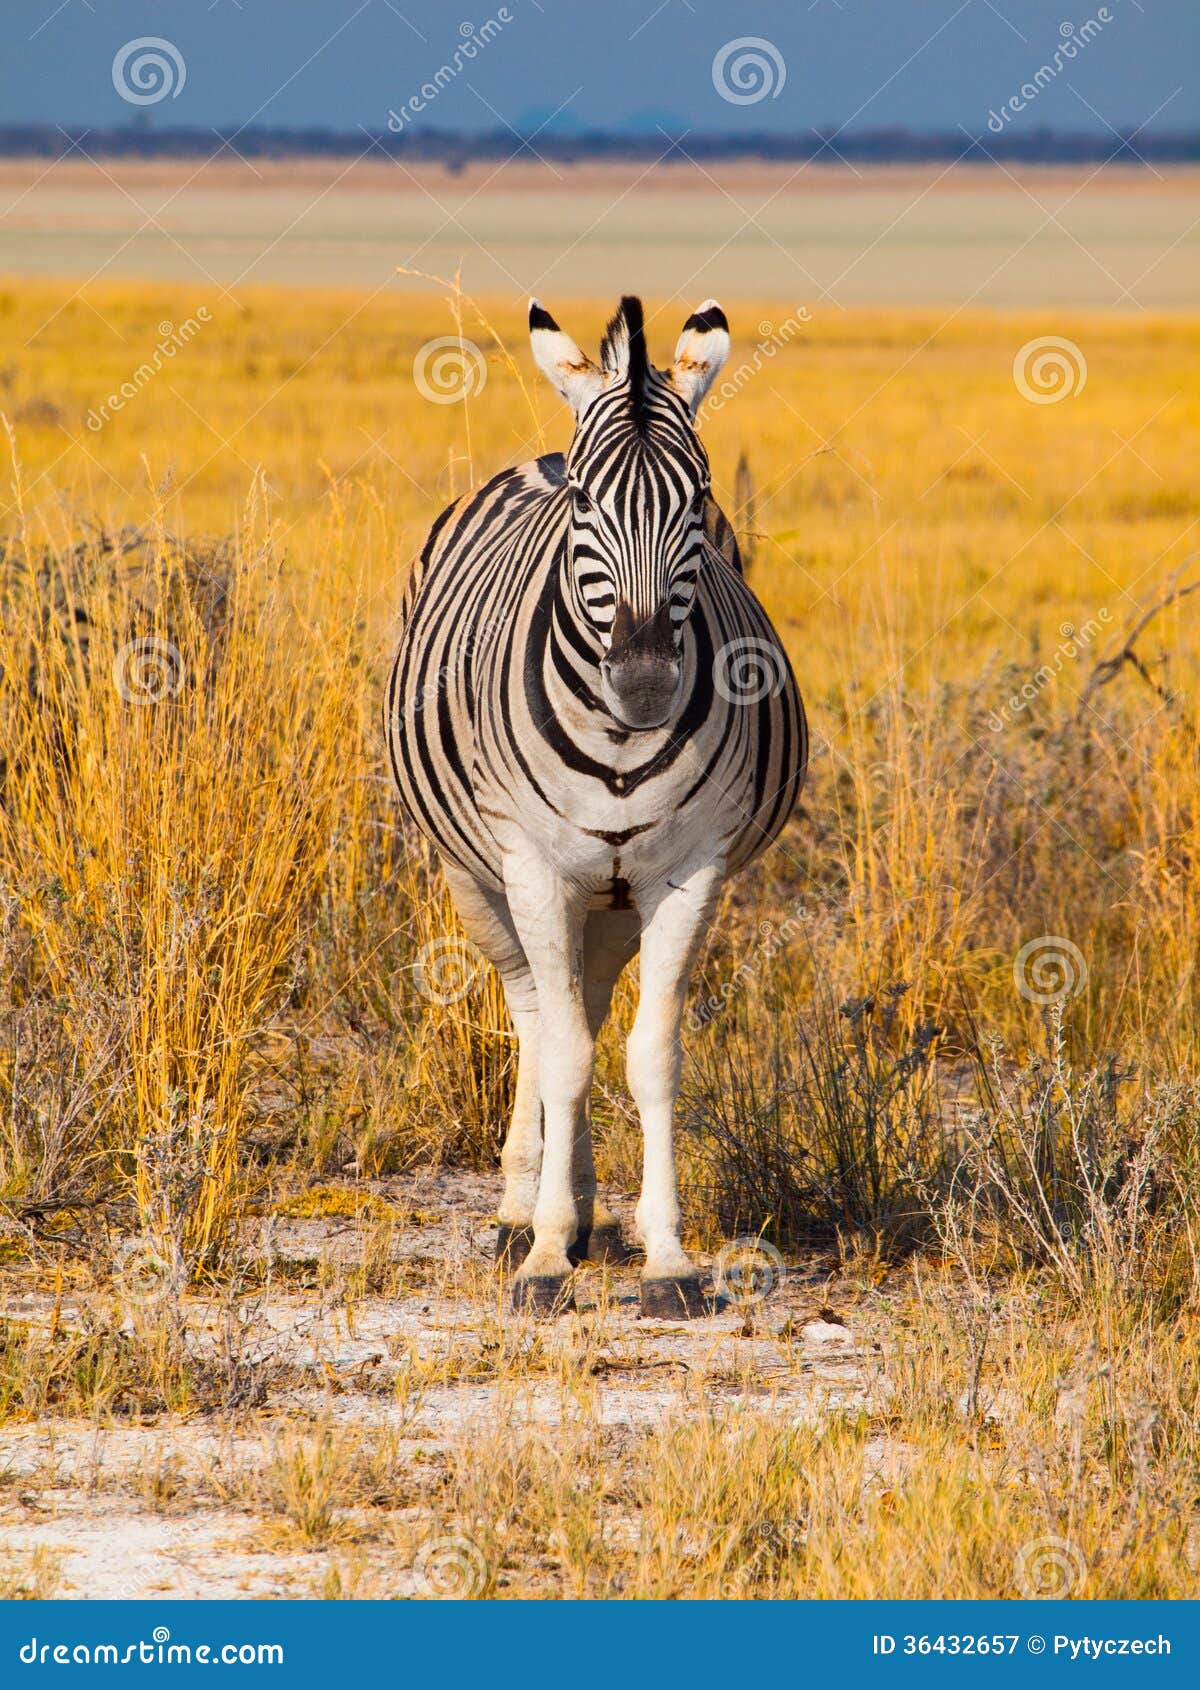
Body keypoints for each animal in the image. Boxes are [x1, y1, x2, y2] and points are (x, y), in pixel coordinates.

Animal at [386, 295, 806, 1317]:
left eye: (698, 500)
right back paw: (523, 1210)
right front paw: (541, 1257)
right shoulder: (533, 869)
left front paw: (668, 1261)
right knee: (539, 1013)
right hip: (479, 877)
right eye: (585, 502)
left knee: (586, 998)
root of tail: (539, 448)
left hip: (609, 900)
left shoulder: (688, 874)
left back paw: (581, 1210)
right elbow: (567, 1054)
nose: (648, 683)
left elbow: (649, 1055)